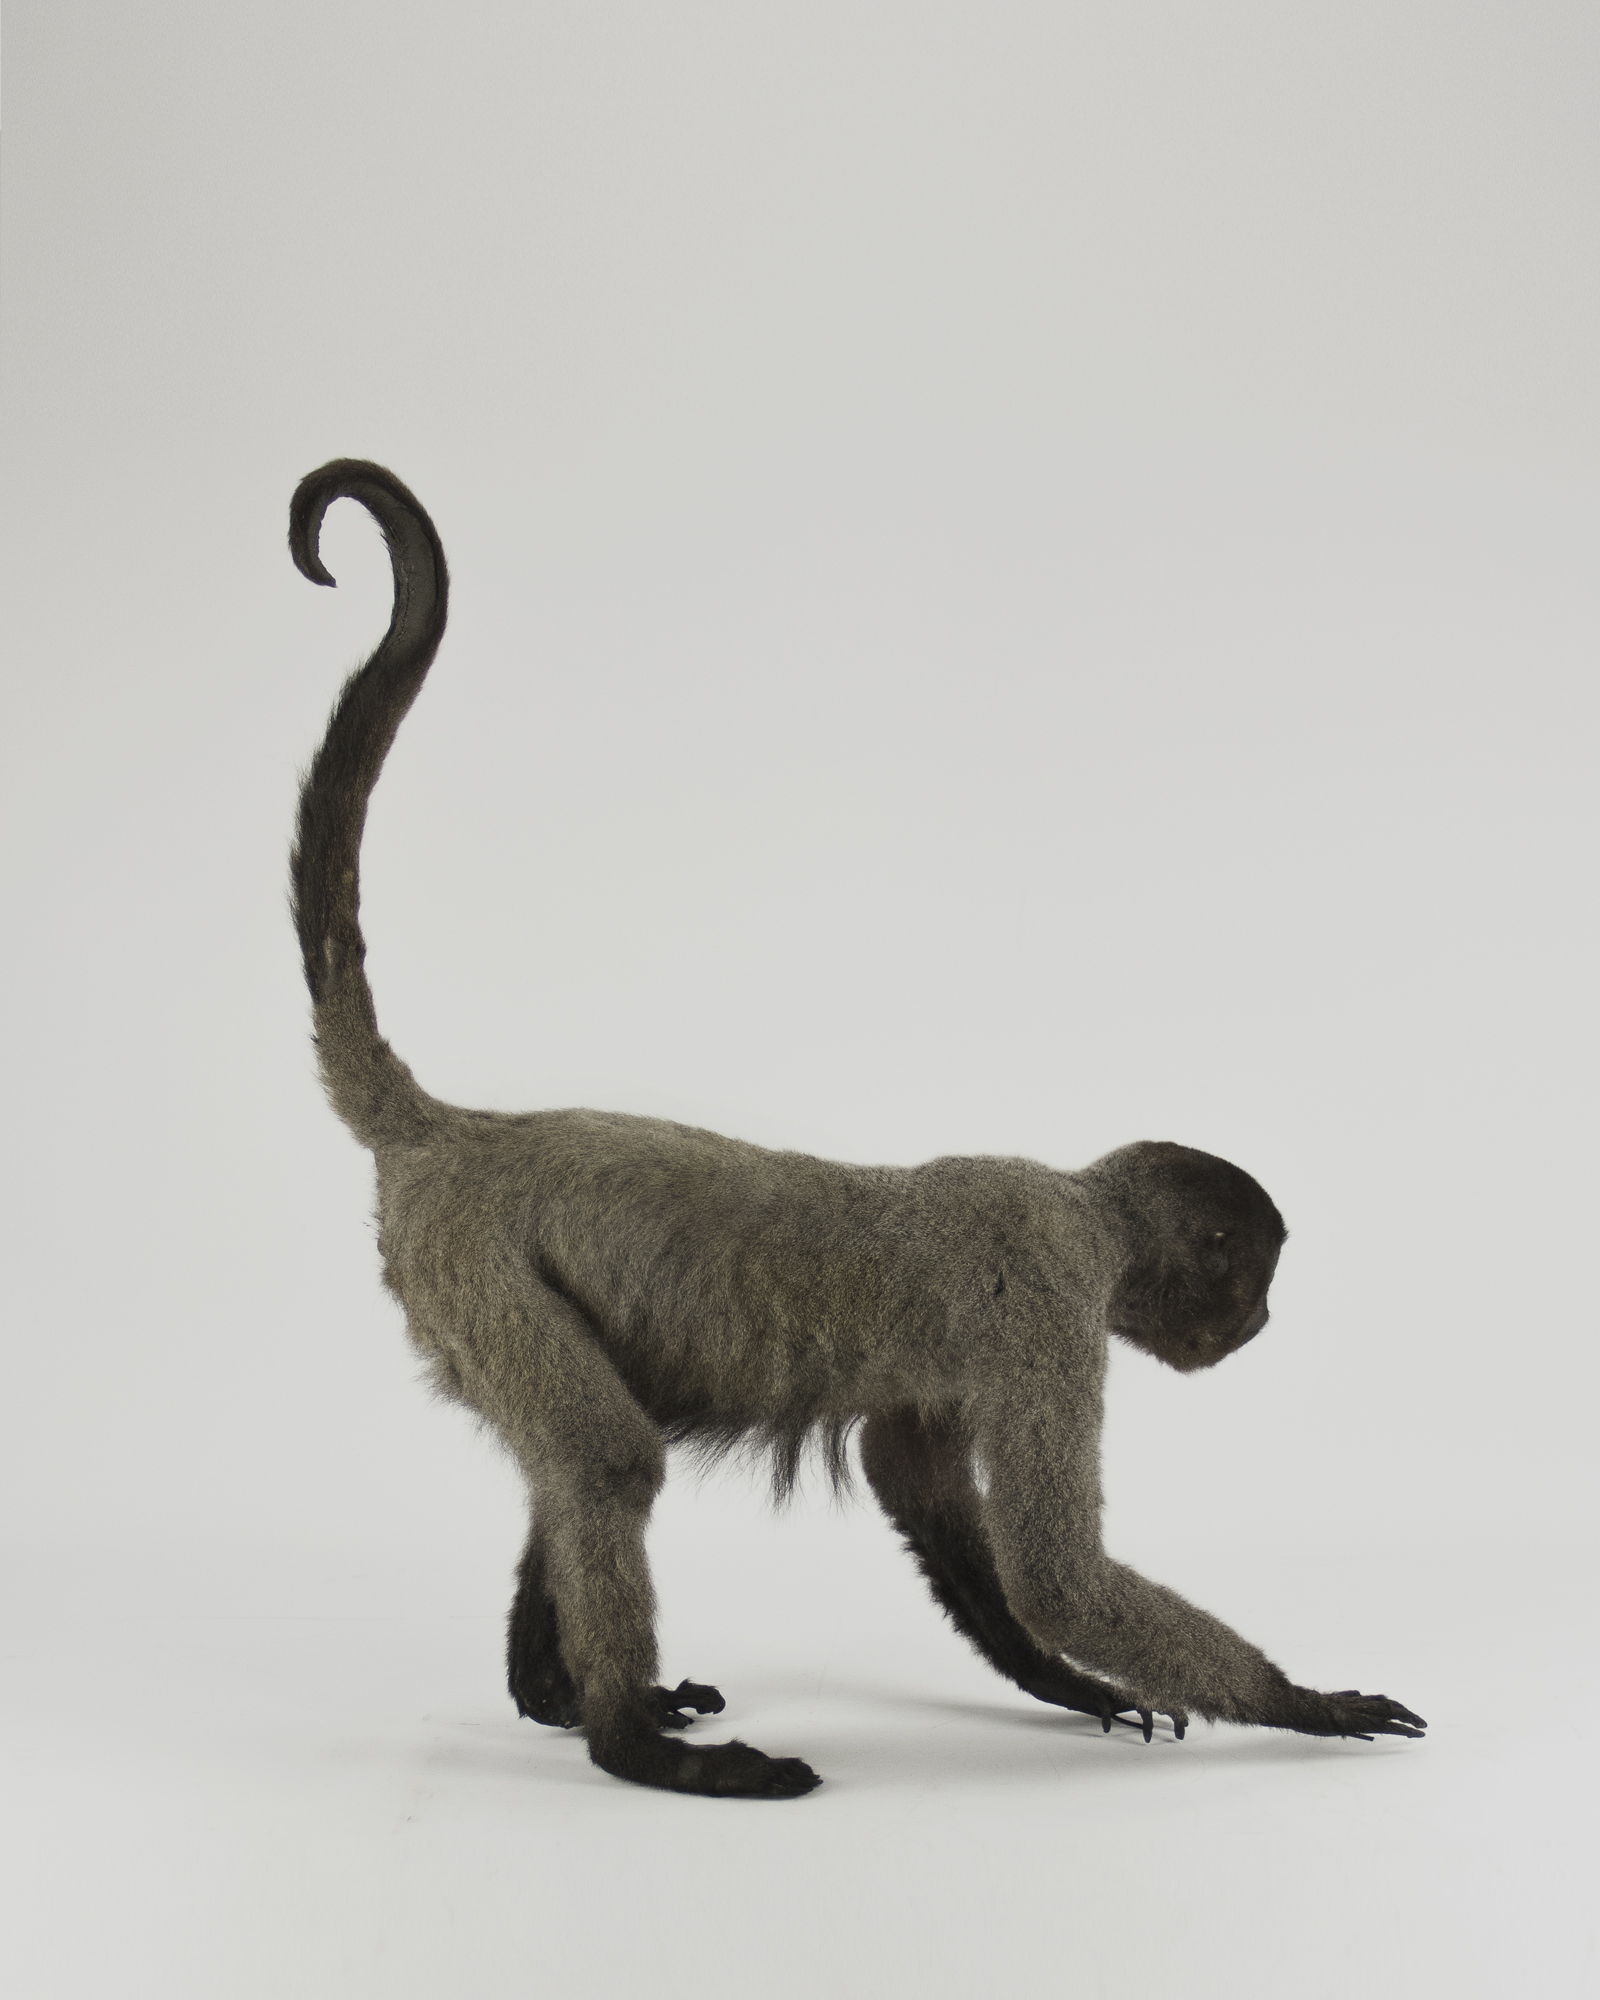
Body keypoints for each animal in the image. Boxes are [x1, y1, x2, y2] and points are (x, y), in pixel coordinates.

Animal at [288, 458, 1425, 1799]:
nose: (1259, 1321)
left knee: (576, 1458)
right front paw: (1304, 1699)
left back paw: (553, 1691)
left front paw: (1070, 1683)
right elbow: (1056, 1569)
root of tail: (458, 1132)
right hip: (468, 1264)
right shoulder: (1051, 1289)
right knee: (608, 1459)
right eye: (1251, 1271)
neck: (1086, 1206)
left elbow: (927, 1493)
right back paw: (627, 1737)